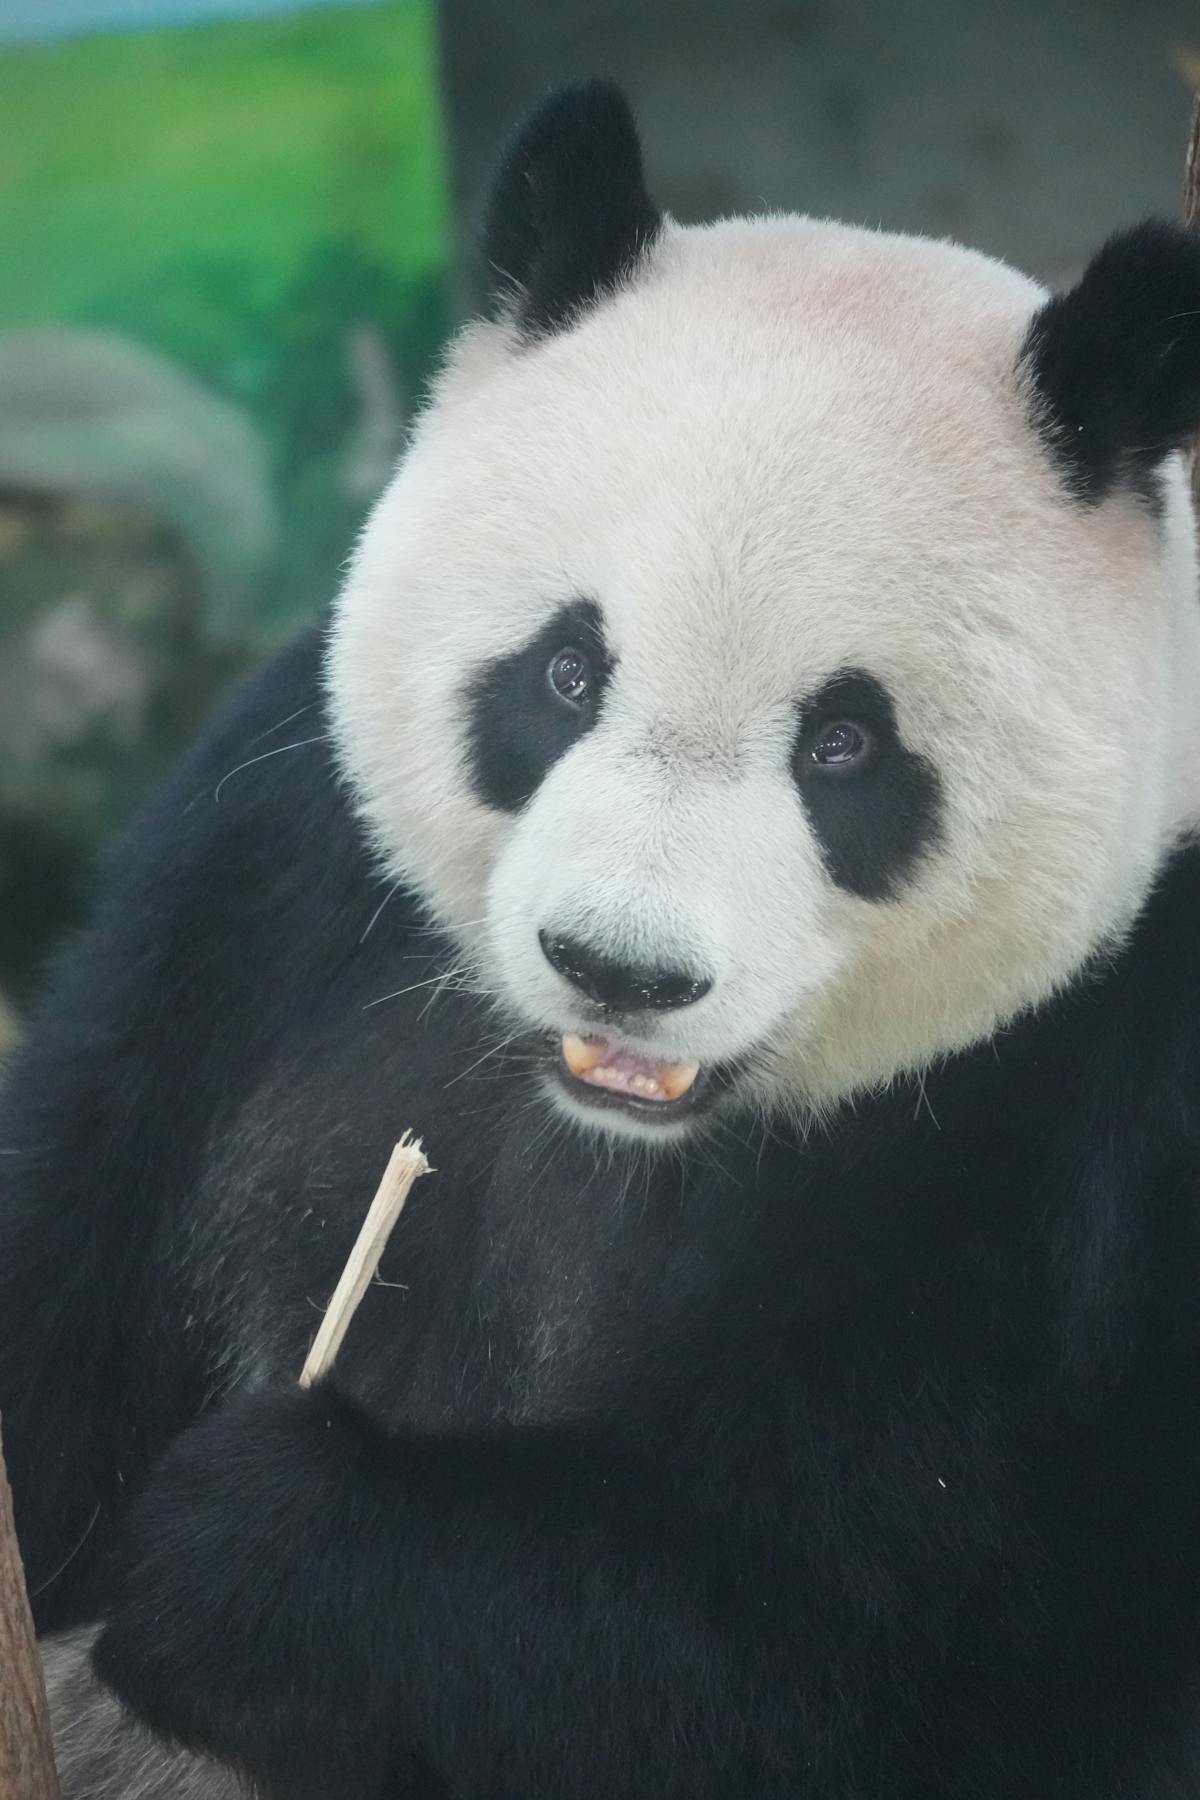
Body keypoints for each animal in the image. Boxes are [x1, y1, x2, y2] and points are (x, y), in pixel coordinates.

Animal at [9, 74, 1200, 1799]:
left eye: (845, 746)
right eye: (567, 674)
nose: (620, 971)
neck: (614, 1127)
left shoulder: (1109, 1110)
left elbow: (892, 1650)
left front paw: (247, 1545)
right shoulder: (268, 885)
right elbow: (70, 1254)